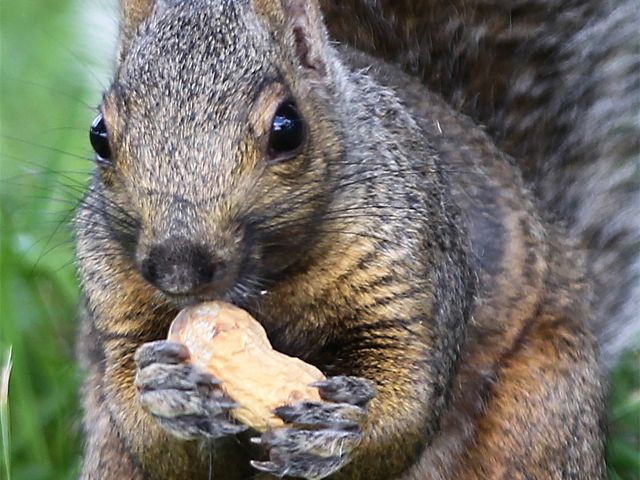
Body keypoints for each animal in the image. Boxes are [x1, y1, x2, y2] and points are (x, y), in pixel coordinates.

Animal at [76, 0, 607, 479]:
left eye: (287, 127)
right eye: (98, 135)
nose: (178, 266)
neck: (264, 287)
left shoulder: (409, 271)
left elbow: (409, 403)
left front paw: (337, 428)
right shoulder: (117, 297)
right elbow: (154, 442)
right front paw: (169, 393)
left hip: (538, 411)